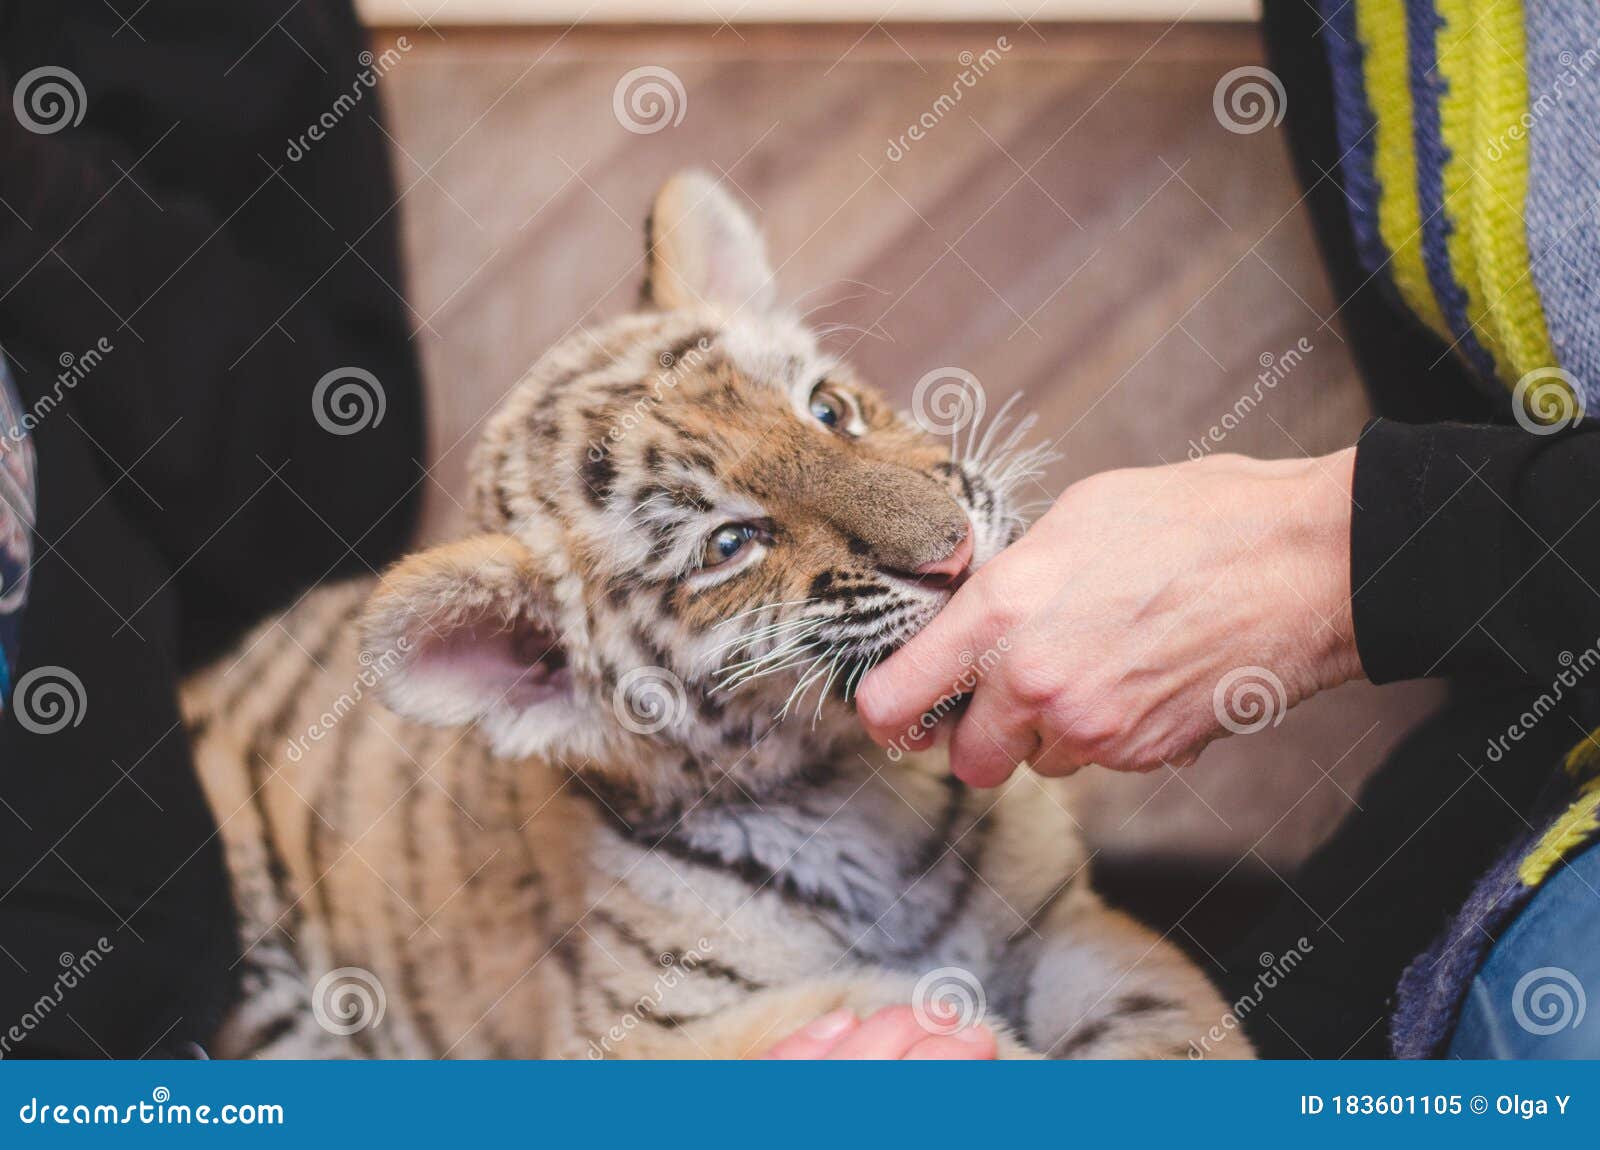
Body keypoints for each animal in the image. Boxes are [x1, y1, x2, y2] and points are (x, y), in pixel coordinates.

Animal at [182, 170, 1250, 1060]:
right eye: (729, 545)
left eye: (827, 411)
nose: (954, 550)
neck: (861, 793)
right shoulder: (644, 1034)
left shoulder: (1068, 922)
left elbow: (1169, 1019)